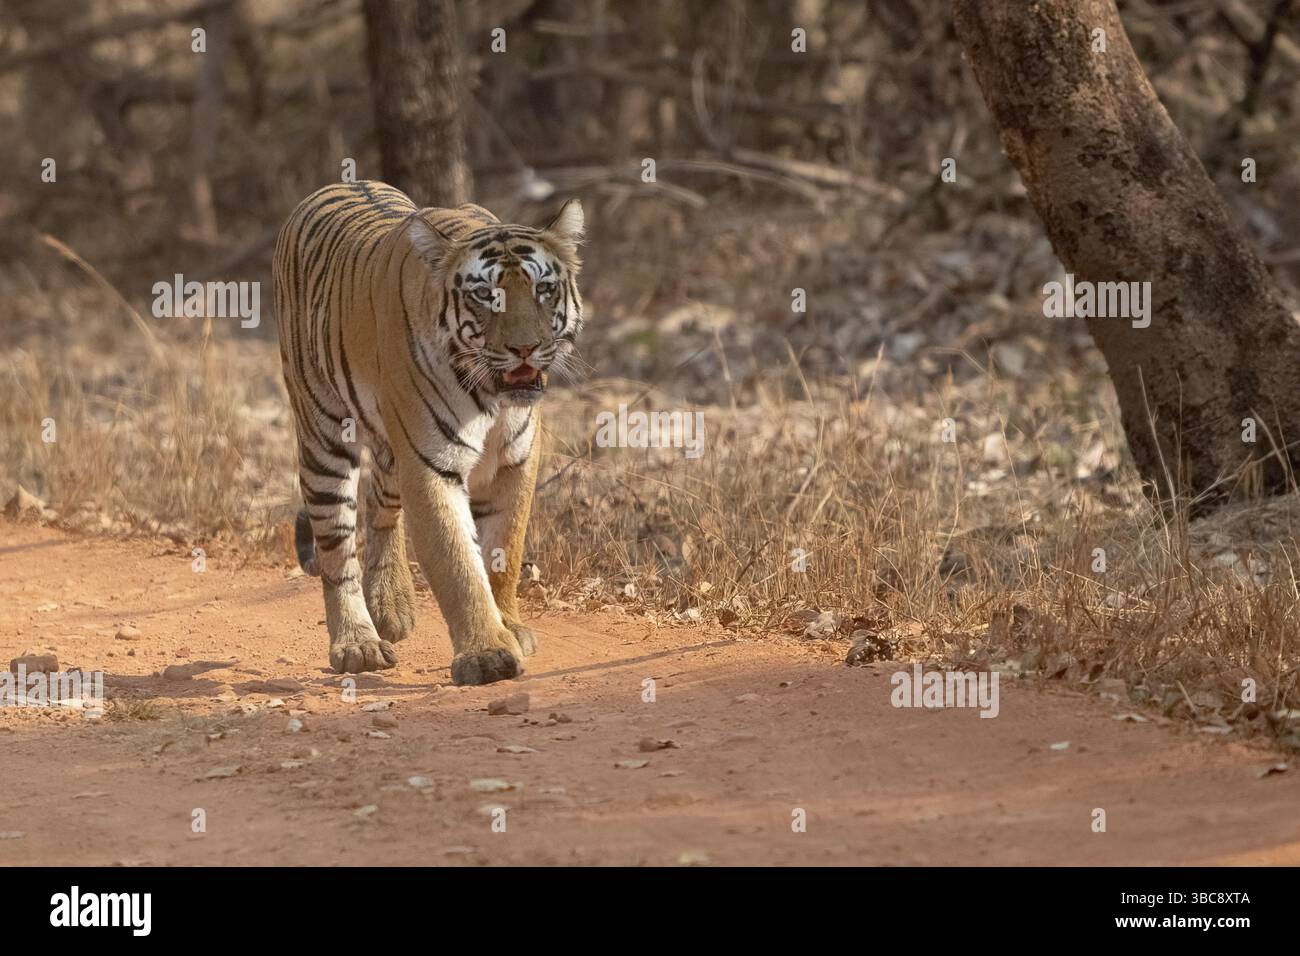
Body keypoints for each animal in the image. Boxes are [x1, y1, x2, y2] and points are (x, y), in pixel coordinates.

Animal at [272, 180, 585, 685]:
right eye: (485, 295)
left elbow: (503, 552)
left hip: (388, 447)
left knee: (379, 504)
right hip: (323, 433)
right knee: (337, 547)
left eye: (544, 288)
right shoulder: (431, 464)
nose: (525, 348)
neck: (492, 397)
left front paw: (509, 627)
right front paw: (486, 654)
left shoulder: (514, 459)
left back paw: (391, 606)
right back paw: (358, 643)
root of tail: (339, 183)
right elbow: (458, 564)